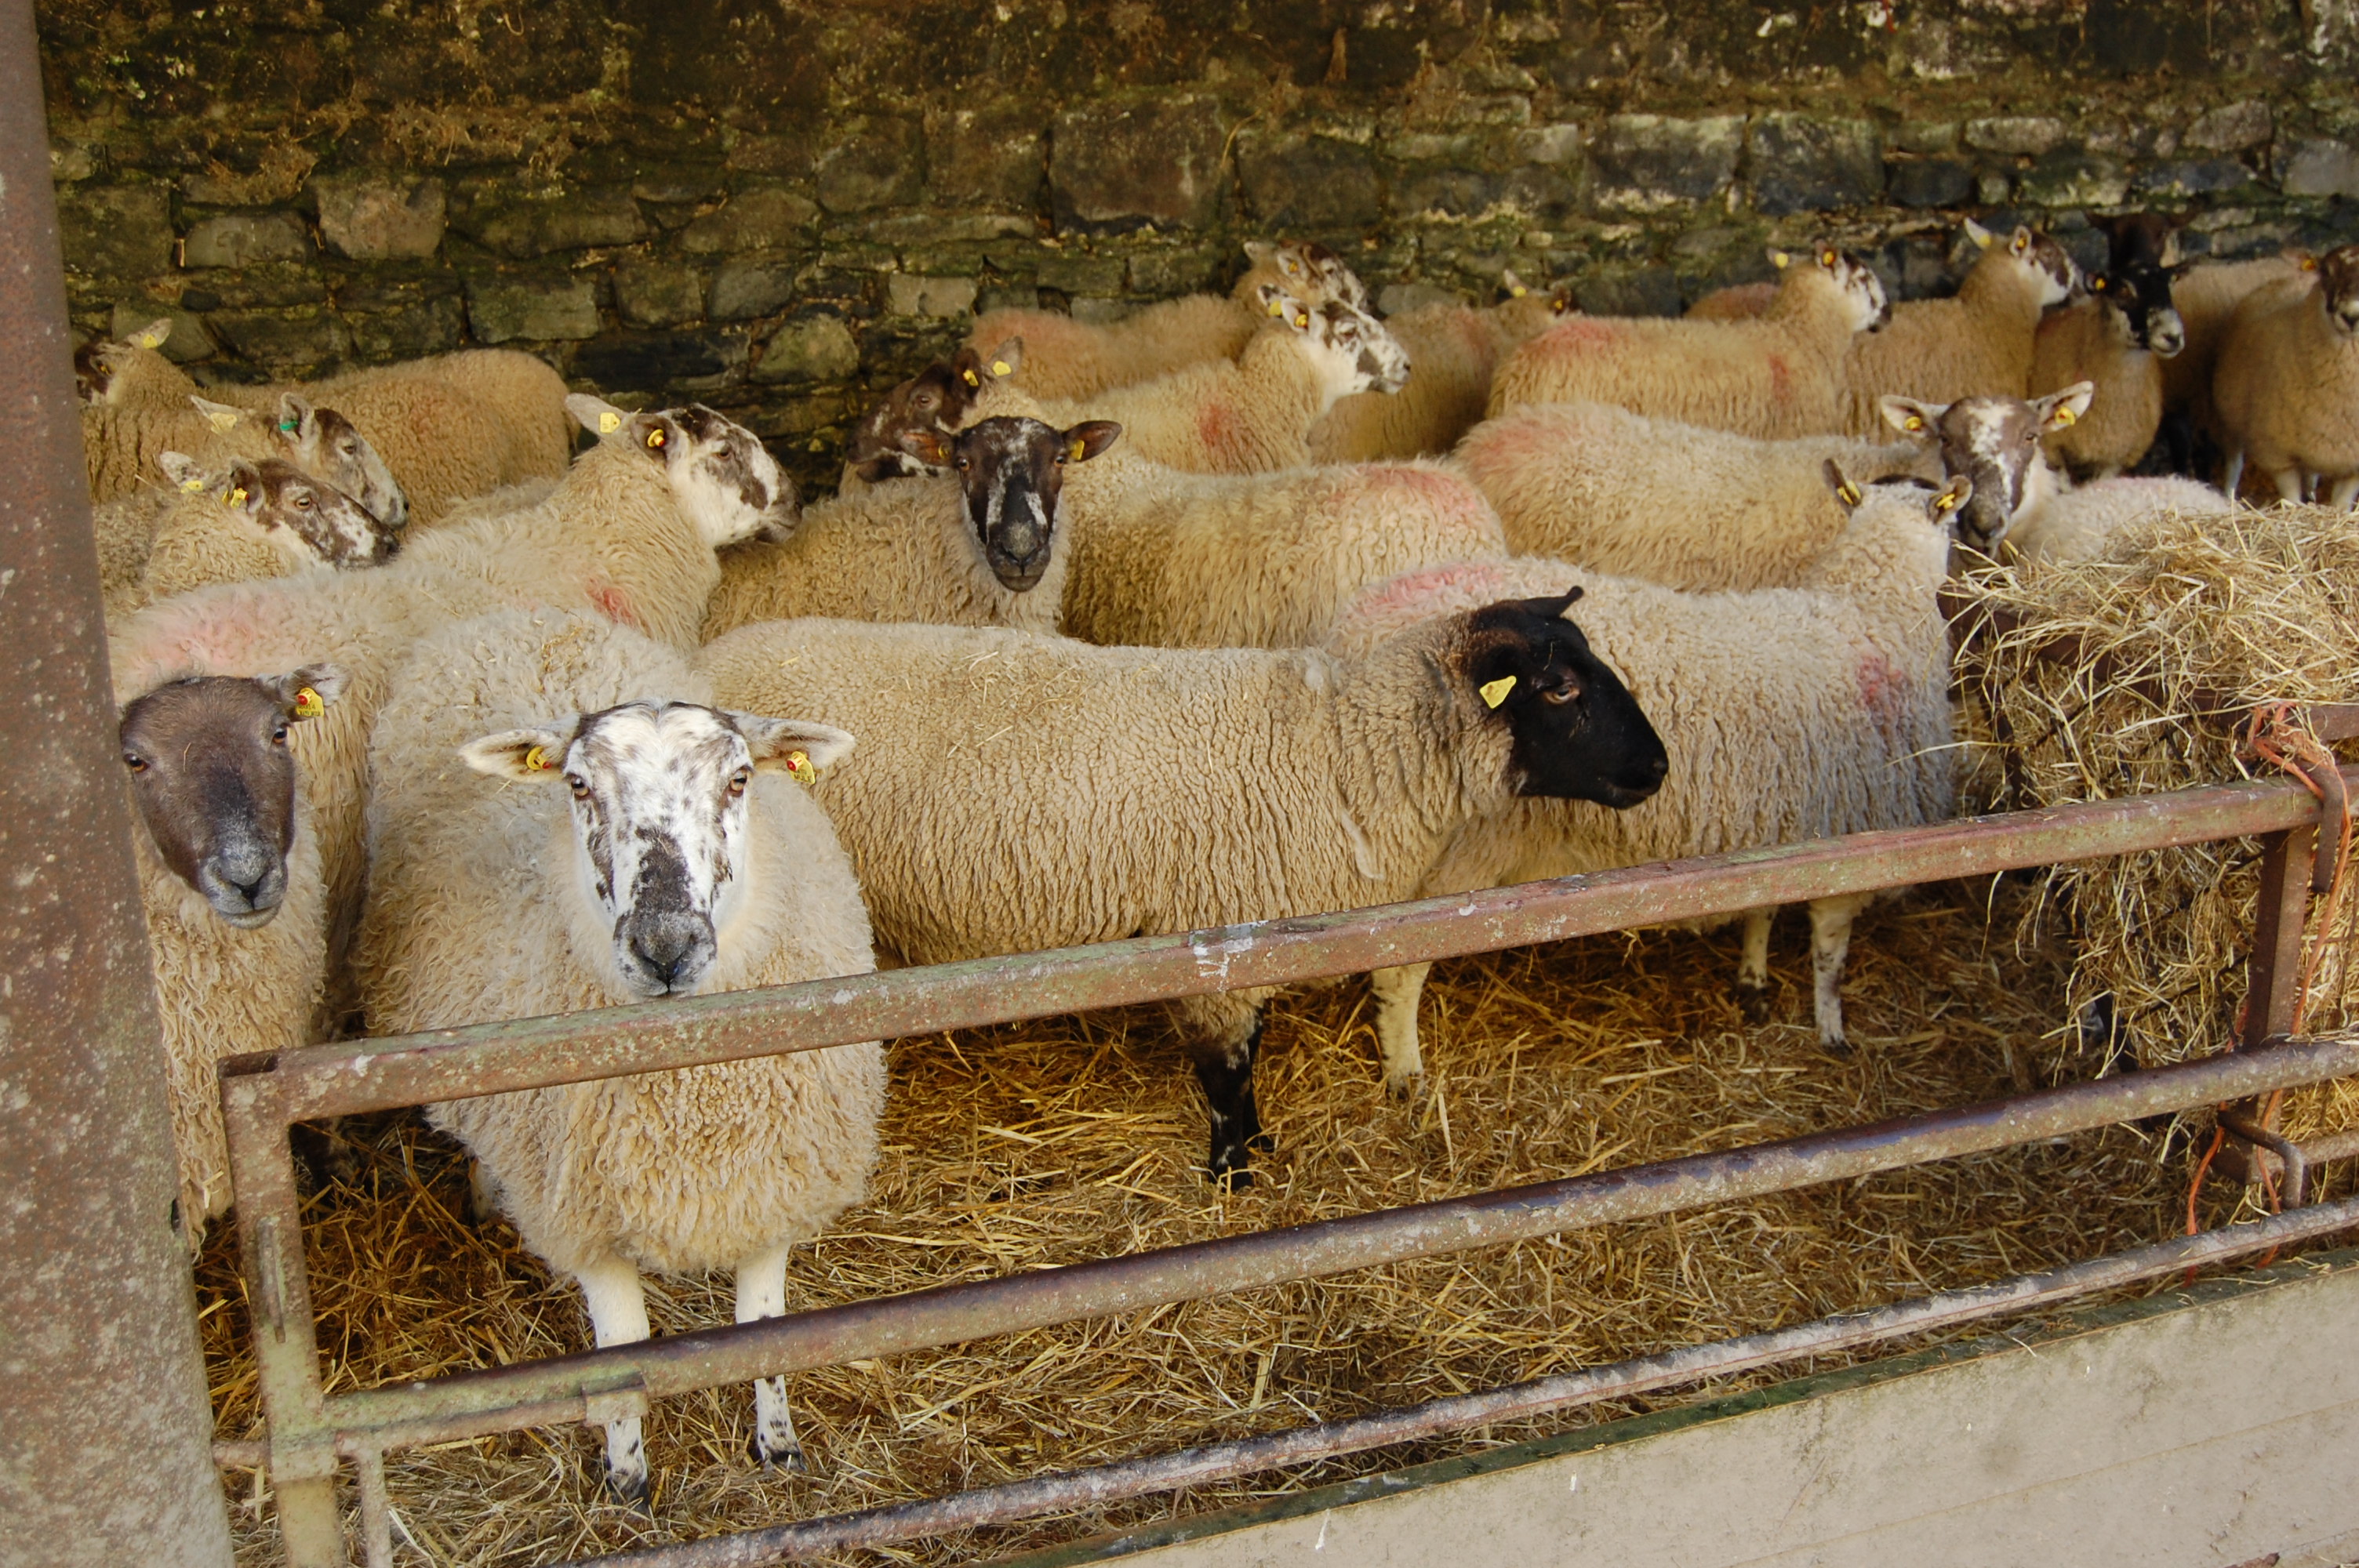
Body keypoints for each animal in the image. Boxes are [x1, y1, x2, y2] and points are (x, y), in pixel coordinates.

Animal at [357, 606, 882, 1502]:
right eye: (576, 786)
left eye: (739, 779)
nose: (664, 947)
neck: (689, 1094)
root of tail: (526, 613)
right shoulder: (585, 1215)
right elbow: (623, 1348)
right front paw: (628, 1475)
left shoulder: (770, 1181)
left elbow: (764, 1326)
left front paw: (776, 1442)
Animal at [698, 605, 1667, 1185]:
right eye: (1558, 686)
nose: (1657, 768)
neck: (1342, 755)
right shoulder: (1215, 941)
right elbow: (1226, 1071)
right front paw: (1234, 1170)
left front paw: (1257, 1147)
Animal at [1323, 468, 1969, 1087]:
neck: (1873, 612)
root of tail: (1355, 631)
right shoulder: (1857, 841)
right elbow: (1830, 956)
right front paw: (1831, 1030)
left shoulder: (1774, 828)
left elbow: (1761, 904)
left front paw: (1754, 981)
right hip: (1461, 855)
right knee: (1400, 964)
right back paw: (1405, 1073)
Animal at [2212, 244, 2359, 507]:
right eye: (2326, 271)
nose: (2352, 316)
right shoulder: (2276, 452)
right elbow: (2291, 498)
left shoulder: (2353, 464)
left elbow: (2341, 505)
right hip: (2230, 414)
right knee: (2234, 463)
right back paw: (2229, 498)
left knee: (2311, 472)